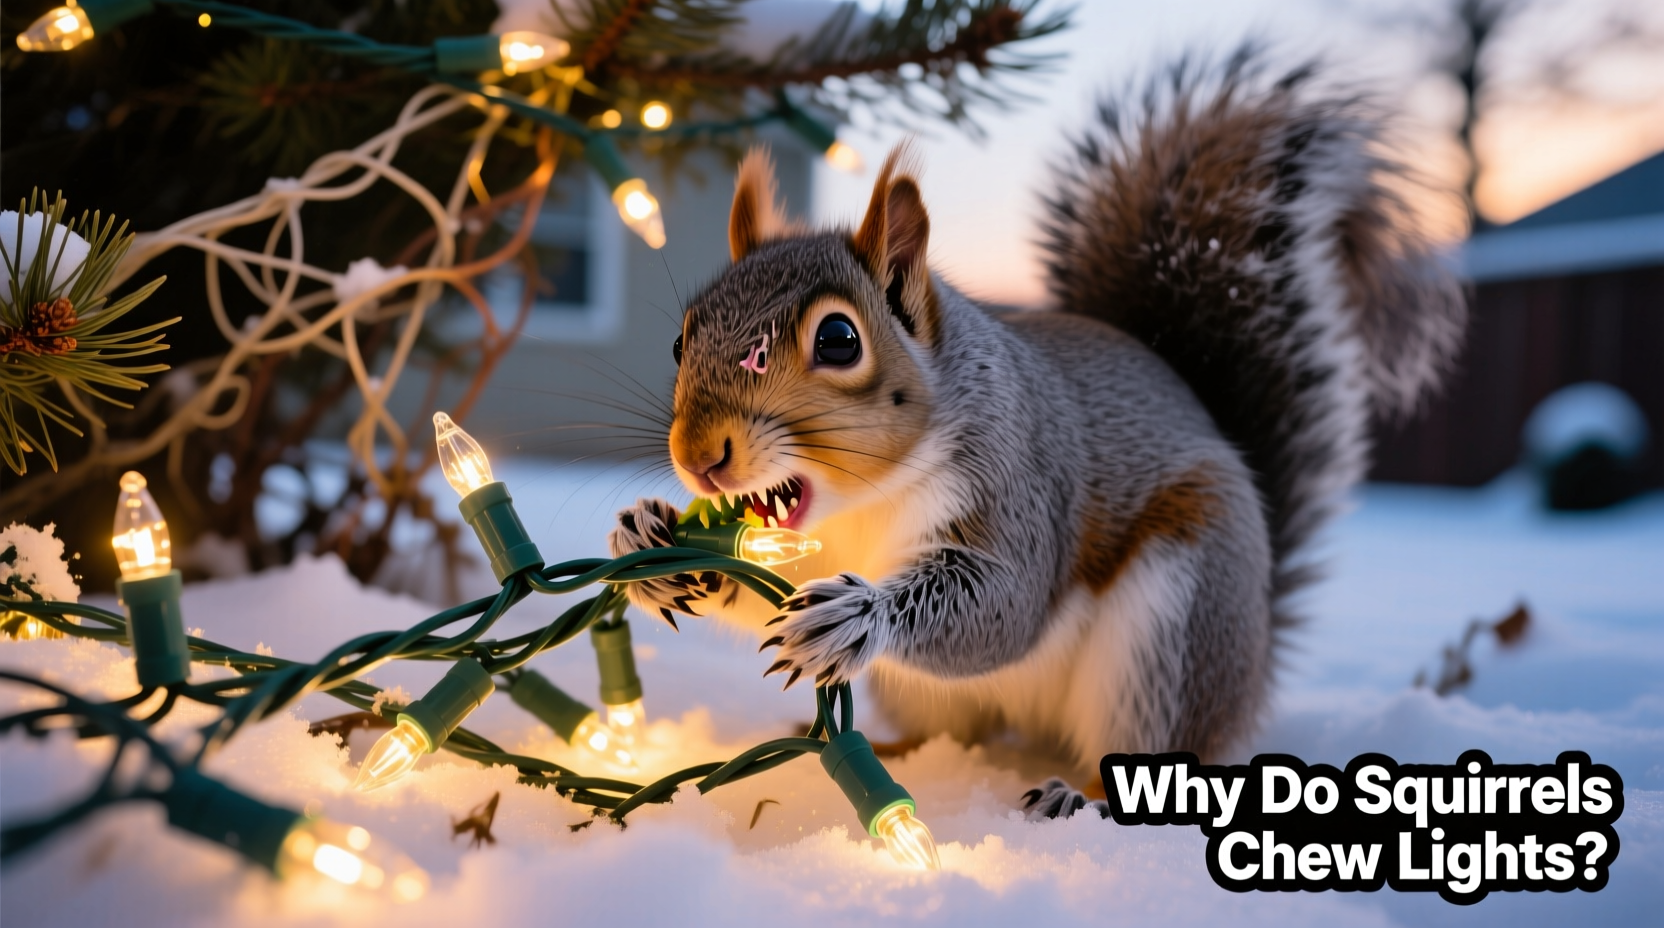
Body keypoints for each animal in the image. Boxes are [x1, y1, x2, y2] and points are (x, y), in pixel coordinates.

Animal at [608, 51, 1466, 818]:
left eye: (840, 341)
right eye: (683, 338)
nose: (698, 457)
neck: (861, 508)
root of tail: (1252, 665)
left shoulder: (1017, 481)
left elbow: (1005, 605)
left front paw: (862, 614)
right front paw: (648, 543)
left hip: (1172, 626)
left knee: (1152, 752)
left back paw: (1079, 796)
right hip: (926, 690)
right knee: (959, 732)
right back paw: (890, 750)